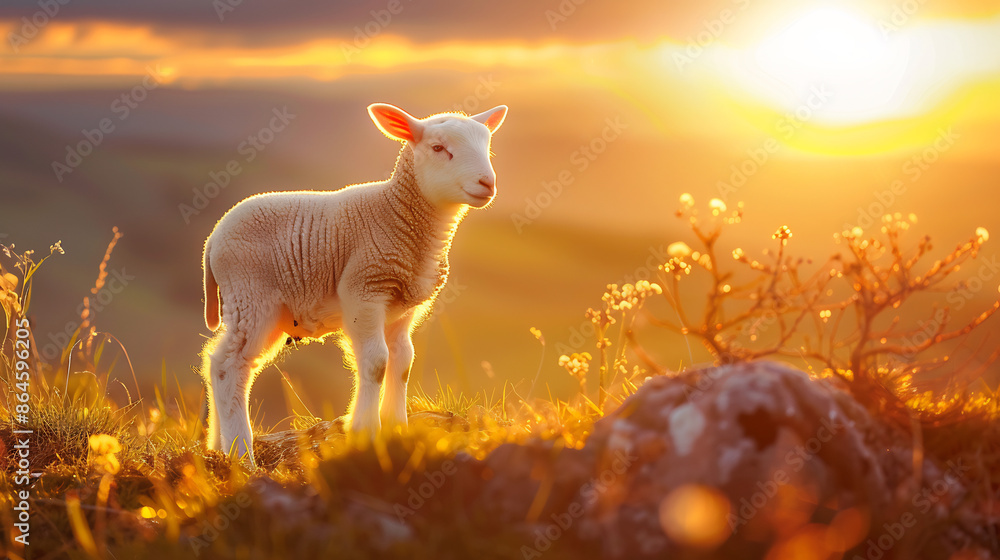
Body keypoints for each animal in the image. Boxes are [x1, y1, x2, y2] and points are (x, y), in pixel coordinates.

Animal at [200, 103, 508, 464]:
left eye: (487, 146)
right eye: (438, 148)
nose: (487, 182)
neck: (398, 215)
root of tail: (213, 239)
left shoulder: (404, 307)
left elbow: (402, 362)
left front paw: (396, 428)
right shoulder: (364, 289)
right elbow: (376, 362)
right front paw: (365, 432)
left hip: (256, 307)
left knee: (222, 362)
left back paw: (217, 446)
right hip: (250, 295)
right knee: (229, 366)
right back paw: (240, 452)